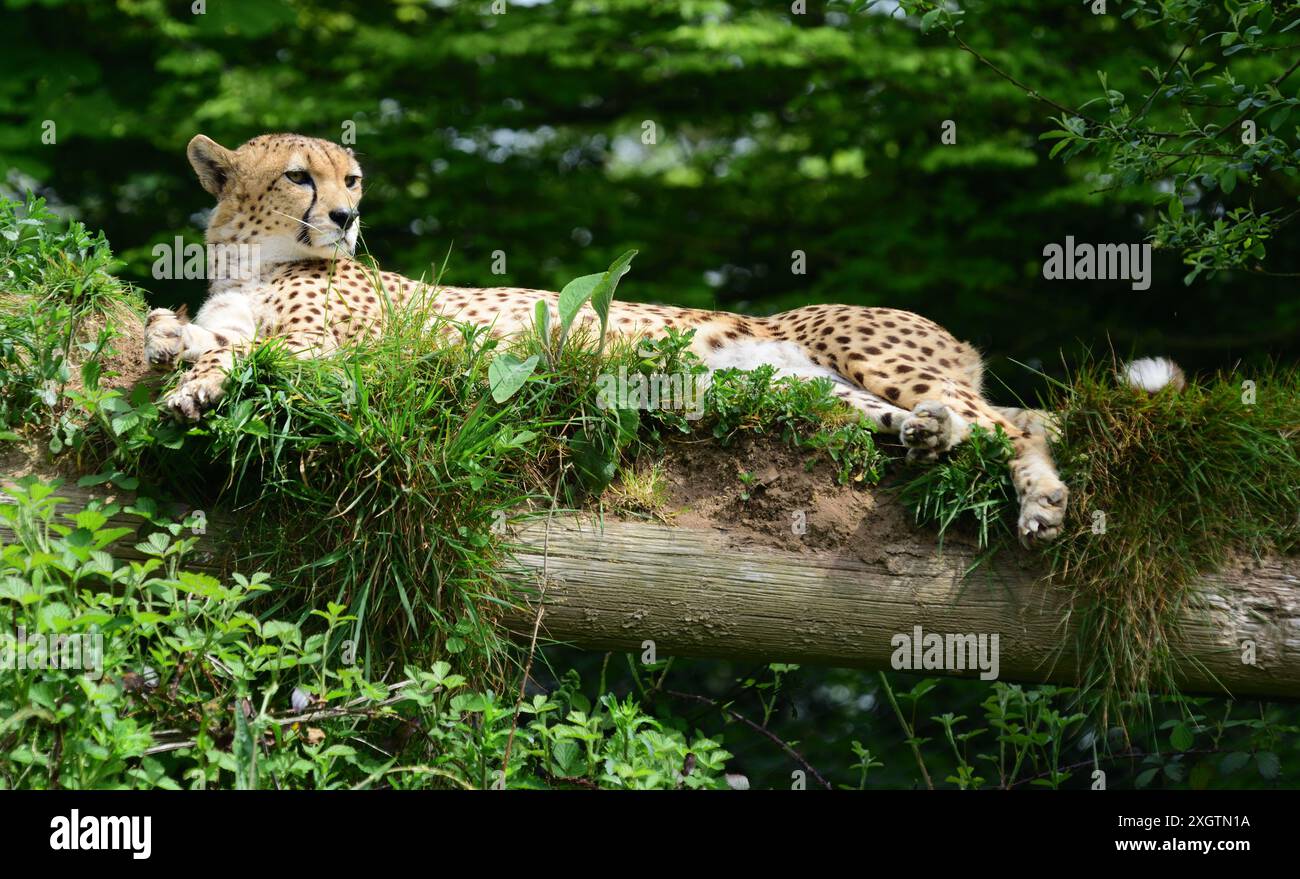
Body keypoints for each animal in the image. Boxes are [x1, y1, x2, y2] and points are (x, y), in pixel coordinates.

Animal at [145, 132, 1075, 544]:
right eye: (300, 176)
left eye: (353, 177)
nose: (346, 217)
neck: (252, 258)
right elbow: (193, 330)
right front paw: (166, 342)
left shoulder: (336, 354)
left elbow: (248, 352)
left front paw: (193, 384)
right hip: (801, 389)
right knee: (951, 421)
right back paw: (926, 437)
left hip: (872, 353)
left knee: (1021, 423)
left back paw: (1042, 501)